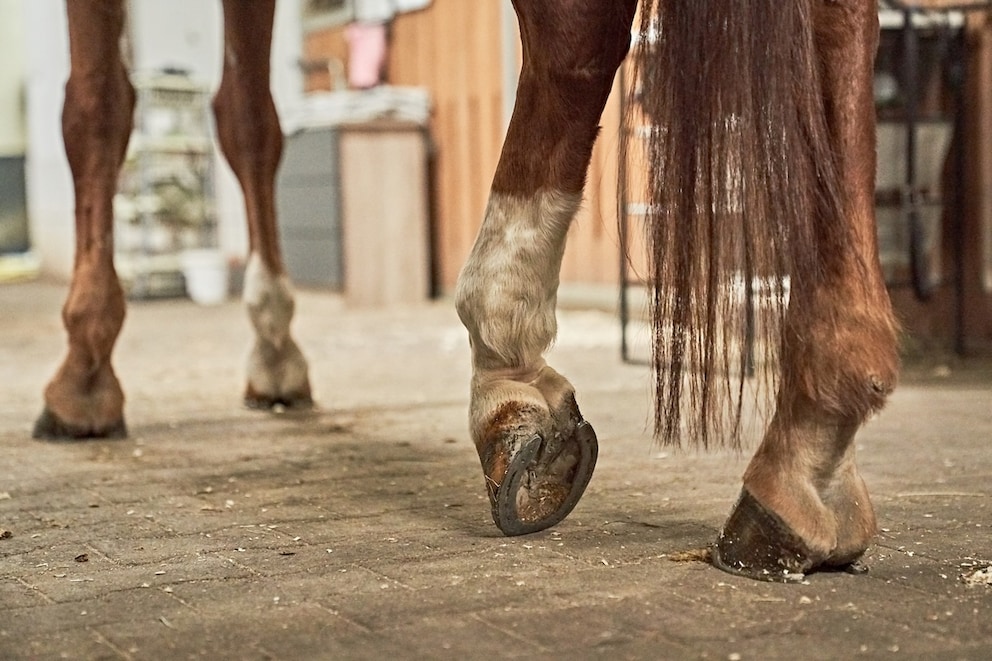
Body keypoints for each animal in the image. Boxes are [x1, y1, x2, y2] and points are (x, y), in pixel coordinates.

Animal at [37, 0, 898, 583]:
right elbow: (248, 117)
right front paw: (275, 352)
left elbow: (94, 107)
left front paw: (84, 372)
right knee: (838, 28)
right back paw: (813, 435)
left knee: (577, 37)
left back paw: (506, 364)